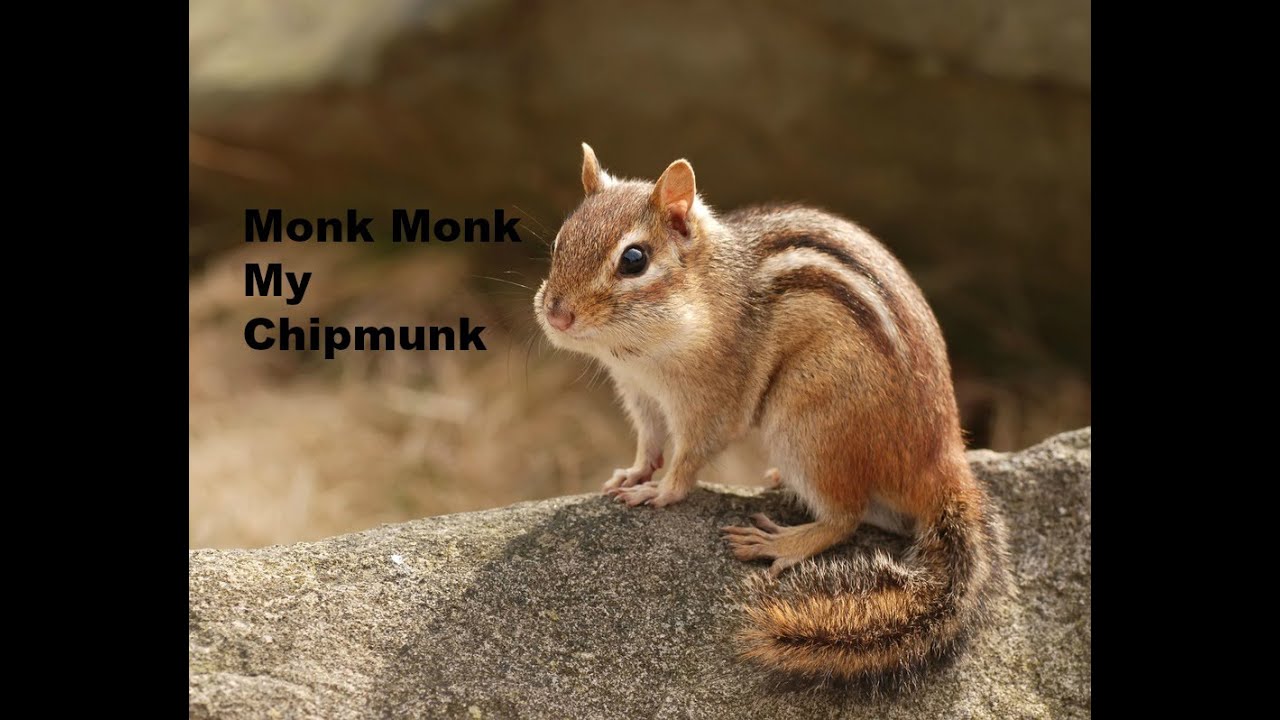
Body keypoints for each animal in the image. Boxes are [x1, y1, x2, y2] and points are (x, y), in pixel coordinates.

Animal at [533, 143, 1011, 690]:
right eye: (560, 241)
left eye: (634, 260)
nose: (557, 314)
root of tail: (942, 458)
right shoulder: (640, 395)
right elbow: (649, 442)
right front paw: (632, 474)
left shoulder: (712, 400)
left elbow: (689, 457)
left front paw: (659, 491)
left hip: (806, 423)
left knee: (845, 518)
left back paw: (779, 542)